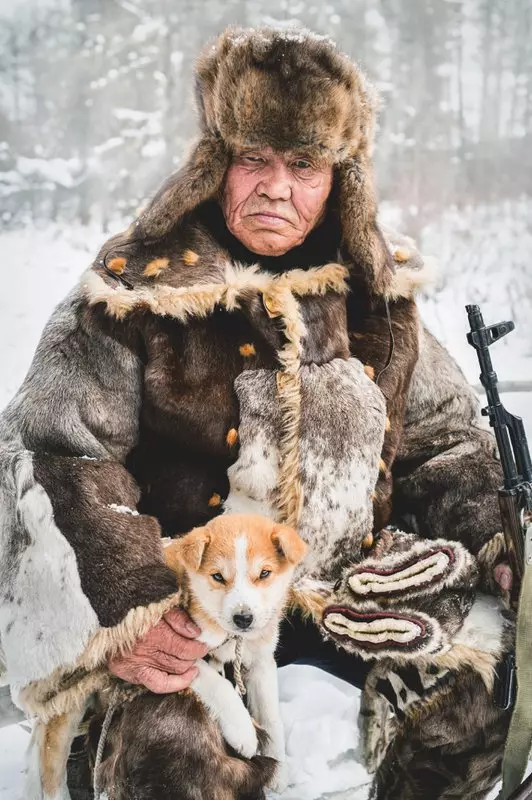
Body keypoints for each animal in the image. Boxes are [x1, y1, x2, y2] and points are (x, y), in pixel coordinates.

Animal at [164, 516, 308, 792]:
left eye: (264, 573)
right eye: (218, 577)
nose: (243, 618)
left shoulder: (262, 662)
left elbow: (270, 716)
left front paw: (278, 764)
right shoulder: (180, 654)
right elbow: (220, 686)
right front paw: (243, 732)